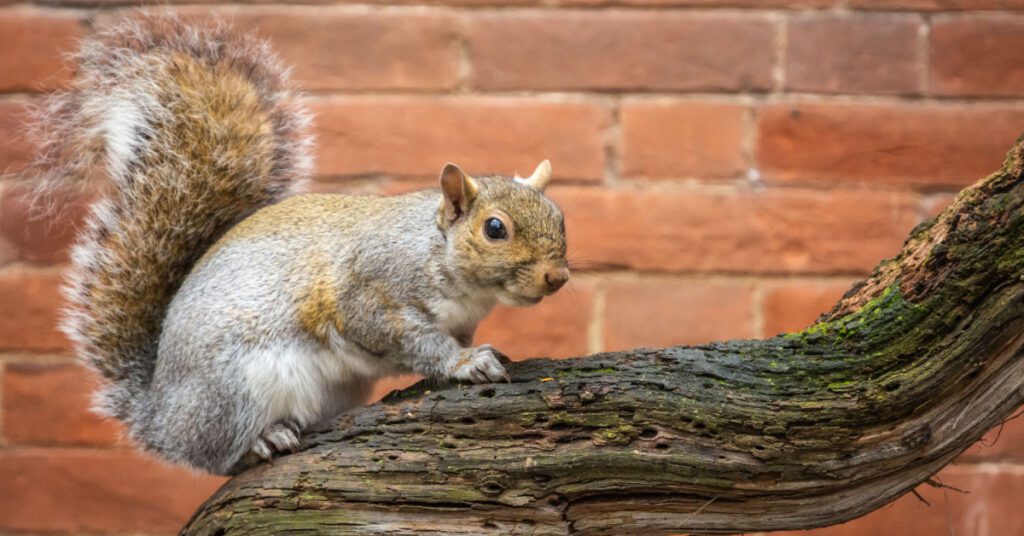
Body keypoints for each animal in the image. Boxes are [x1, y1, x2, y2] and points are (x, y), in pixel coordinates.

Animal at [30, 15, 569, 475]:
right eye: (495, 229)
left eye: (561, 217)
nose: (558, 276)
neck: (438, 256)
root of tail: (159, 417)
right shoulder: (369, 294)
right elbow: (411, 339)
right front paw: (465, 362)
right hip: (232, 390)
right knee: (215, 456)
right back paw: (259, 441)